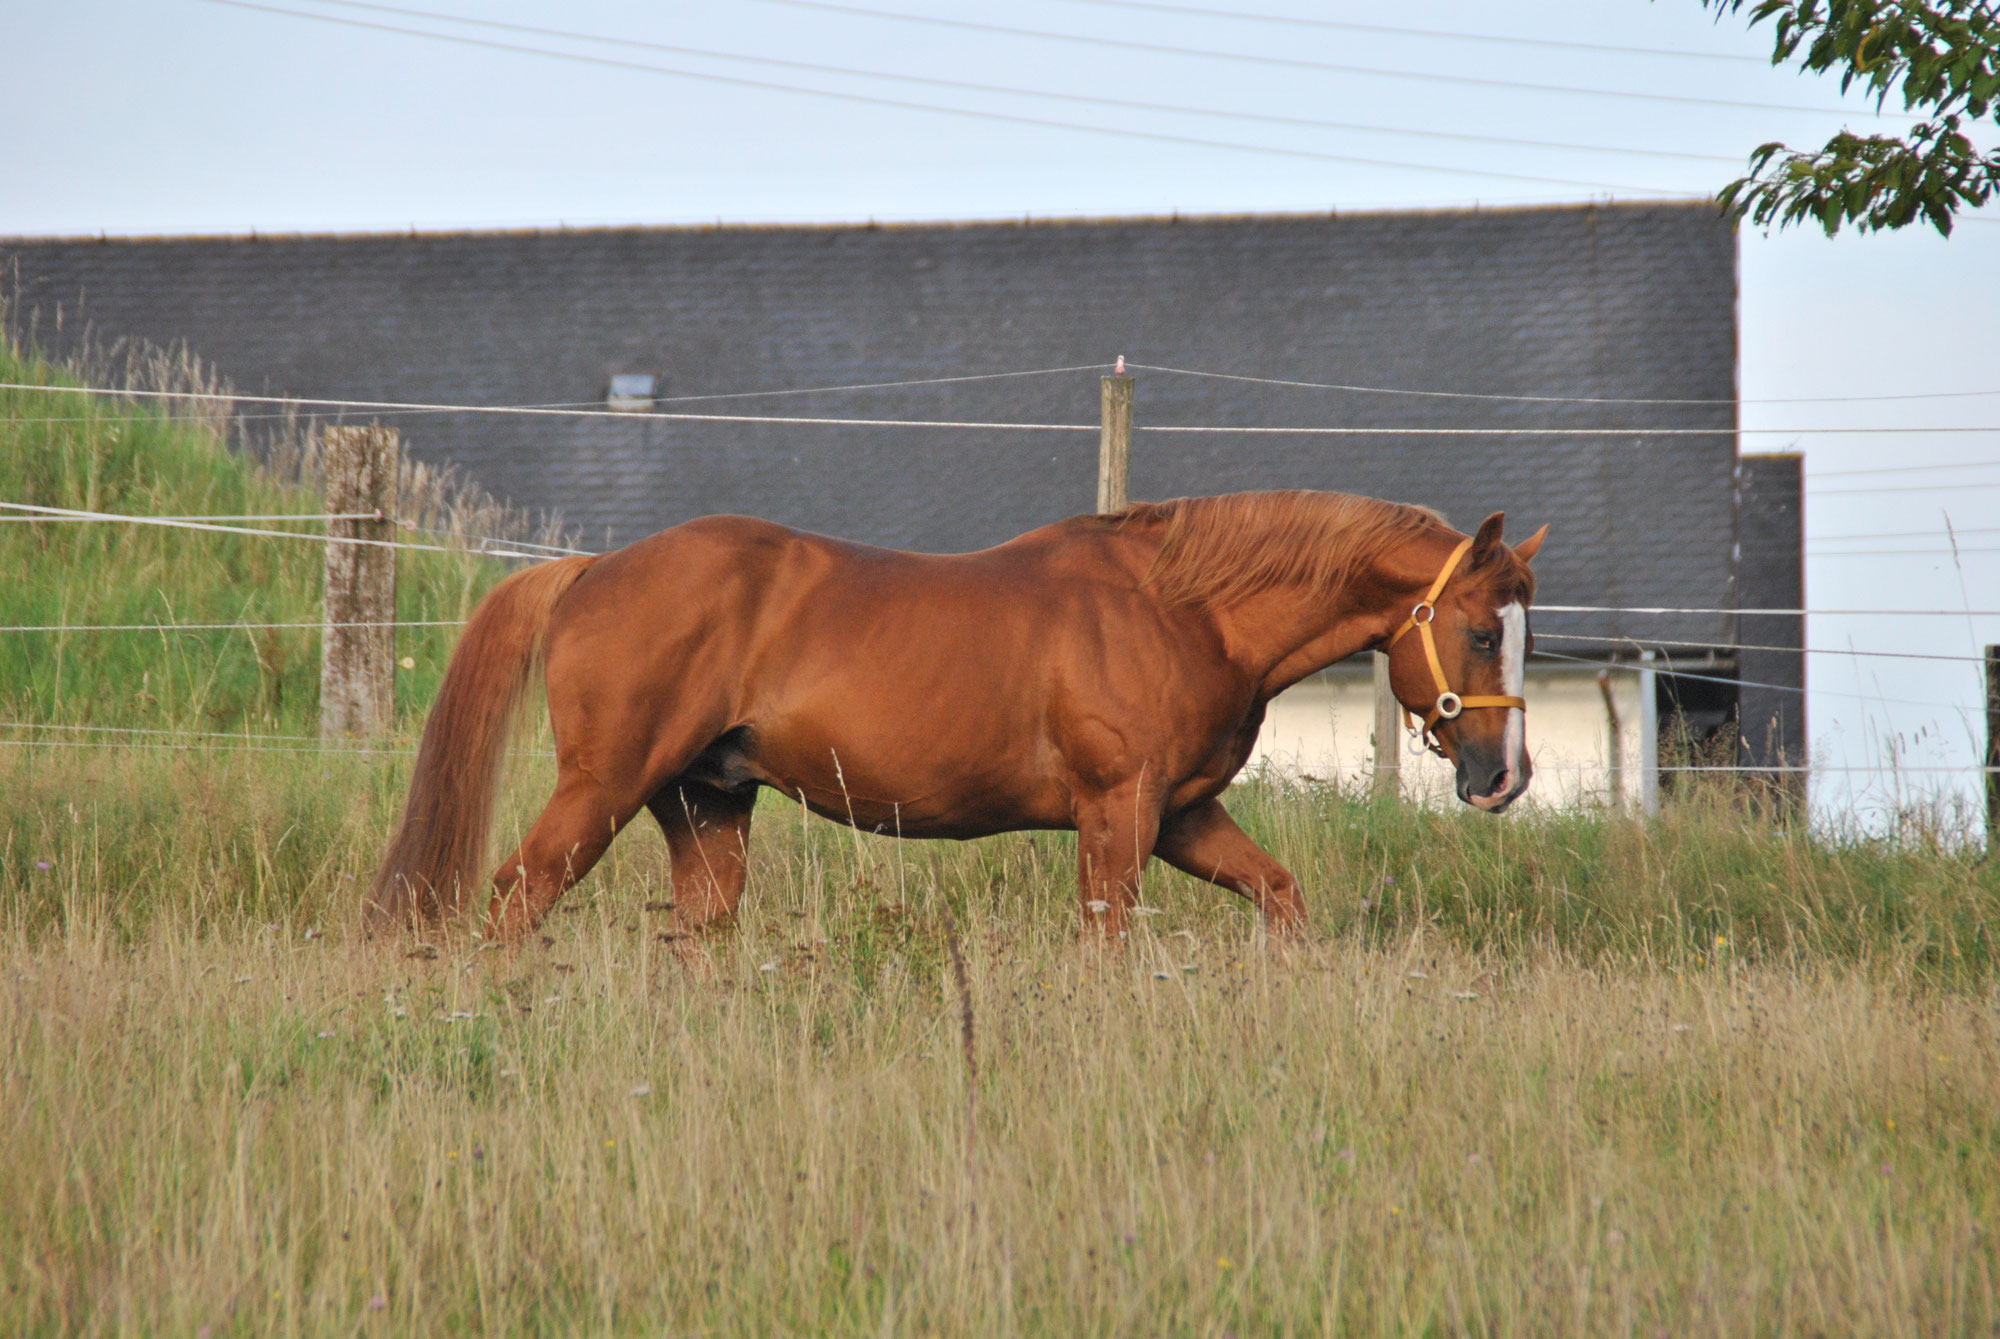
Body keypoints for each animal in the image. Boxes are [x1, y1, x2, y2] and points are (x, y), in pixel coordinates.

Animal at [366, 490, 1546, 941]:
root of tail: (590, 571)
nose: (1504, 776)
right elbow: (1106, 941)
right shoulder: (1118, 815)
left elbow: (1281, 896)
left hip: (706, 809)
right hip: (602, 790)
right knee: (515, 897)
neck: (1179, 607)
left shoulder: (1180, 816)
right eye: (1482, 632)